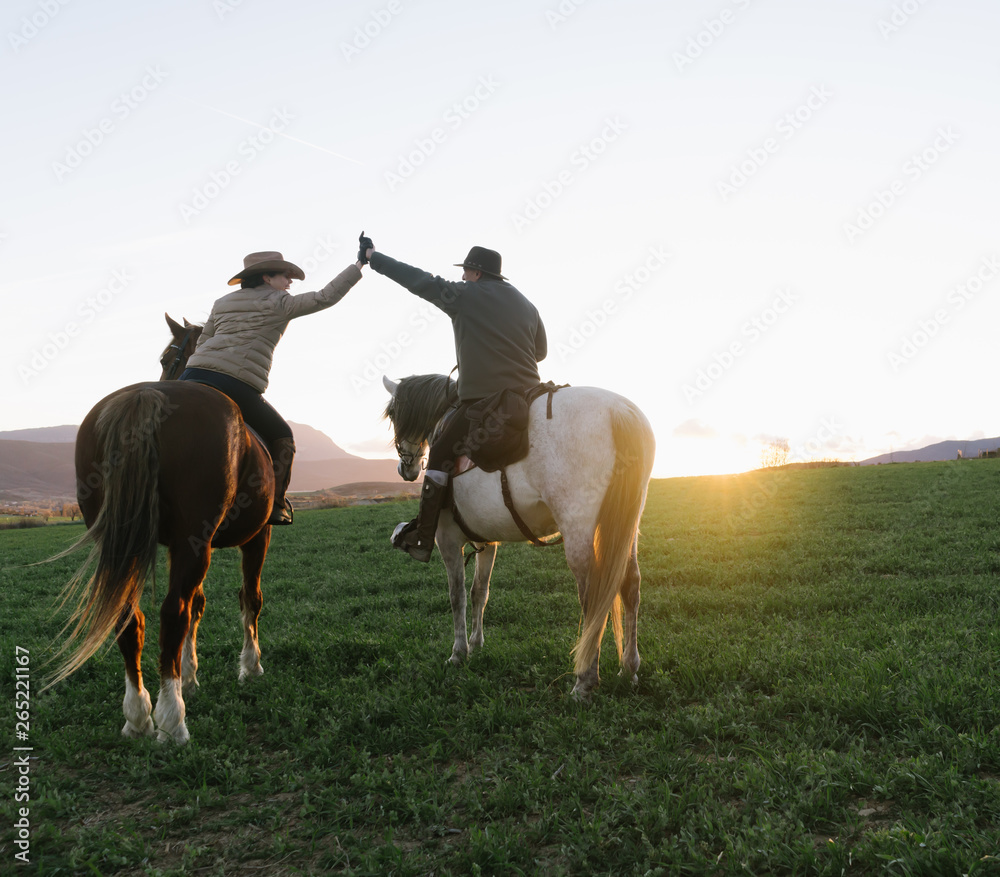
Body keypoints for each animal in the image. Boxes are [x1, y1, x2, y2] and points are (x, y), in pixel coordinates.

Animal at [47, 313, 275, 744]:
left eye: (167, 357)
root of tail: (145, 397)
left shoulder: (184, 545)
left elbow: (199, 604)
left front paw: (190, 675)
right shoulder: (255, 537)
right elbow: (249, 598)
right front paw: (250, 666)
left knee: (130, 617)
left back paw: (138, 714)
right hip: (197, 543)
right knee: (173, 614)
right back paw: (172, 719)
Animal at [382, 374, 655, 697]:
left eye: (393, 414)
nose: (405, 467)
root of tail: (618, 411)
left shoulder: (448, 540)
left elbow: (456, 595)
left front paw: (458, 653)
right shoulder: (487, 542)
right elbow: (479, 592)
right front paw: (476, 644)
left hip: (579, 528)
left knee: (592, 593)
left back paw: (585, 680)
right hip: (629, 524)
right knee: (631, 585)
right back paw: (629, 668)